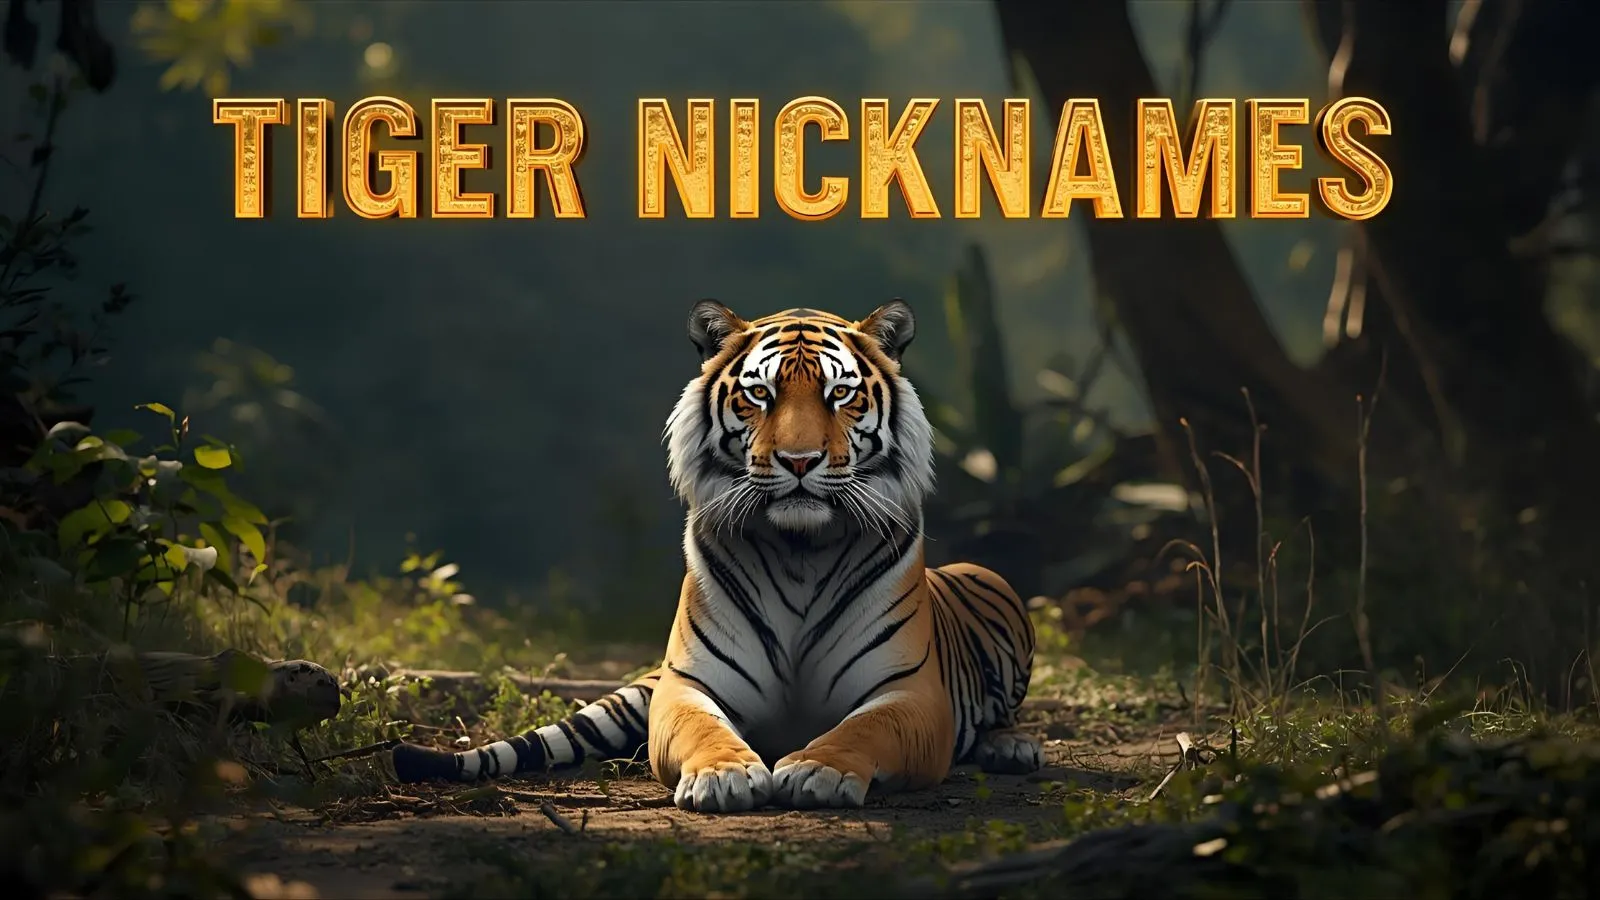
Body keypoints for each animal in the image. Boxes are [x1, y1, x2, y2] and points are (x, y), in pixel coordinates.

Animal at [391, 299, 1042, 812]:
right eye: (760, 393)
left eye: (840, 394)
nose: (799, 461)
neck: (800, 549)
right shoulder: (686, 686)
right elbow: (703, 730)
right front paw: (725, 775)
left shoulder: (910, 694)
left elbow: (863, 730)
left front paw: (818, 769)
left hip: (993, 580)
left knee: (1005, 713)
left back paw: (1011, 746)